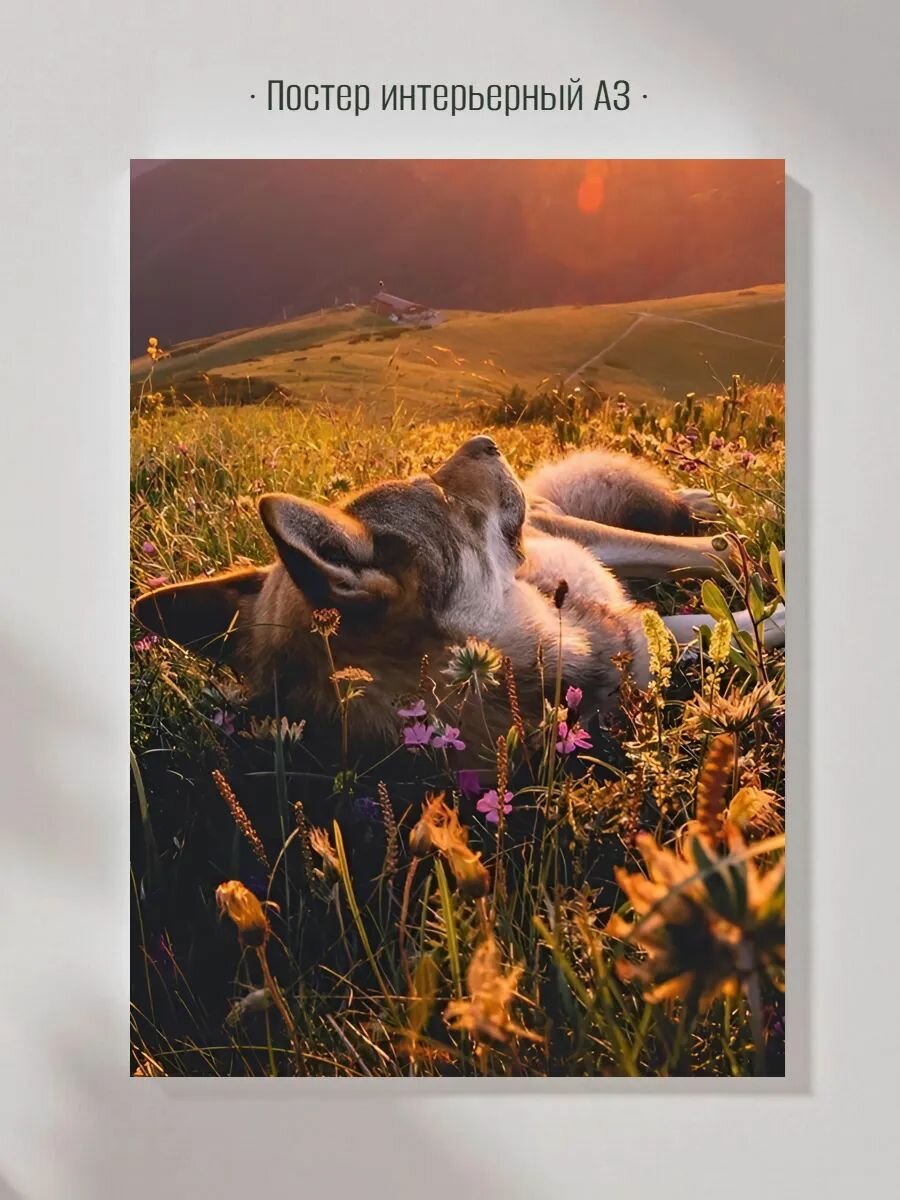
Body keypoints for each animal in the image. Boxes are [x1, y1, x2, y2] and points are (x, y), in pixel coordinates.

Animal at [134, 436, 784, 746]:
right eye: (435, 492)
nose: (485, 440)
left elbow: (716, 558)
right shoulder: (634, 637)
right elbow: (714, 622)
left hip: (561, 527)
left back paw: (702, 501)